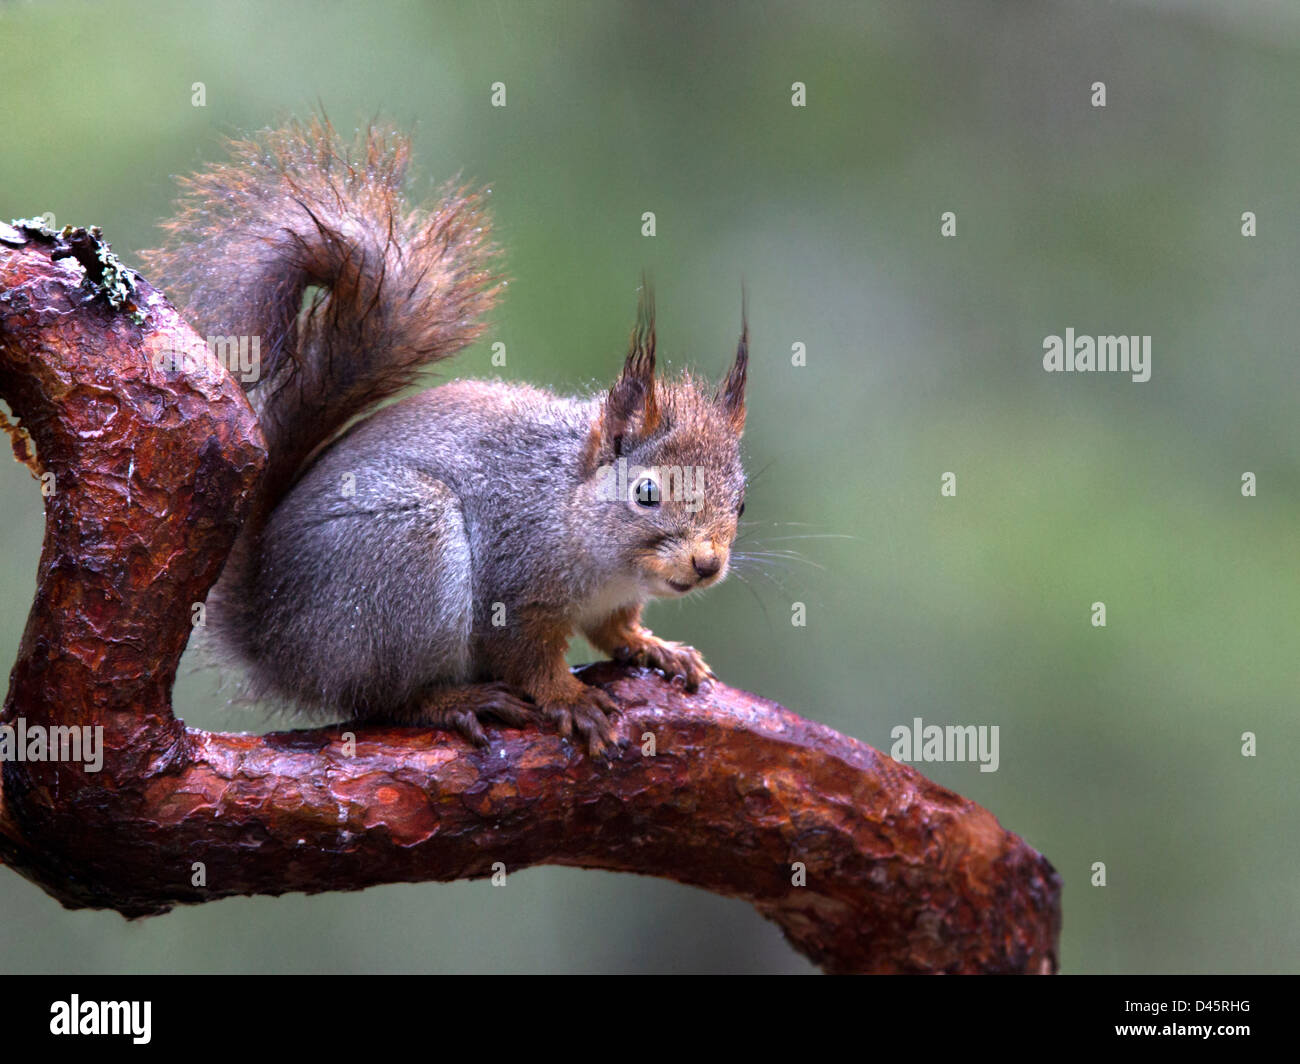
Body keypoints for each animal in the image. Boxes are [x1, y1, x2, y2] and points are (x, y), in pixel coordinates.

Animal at [141, 117, 748, 756]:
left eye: (741, 503)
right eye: (647, 494)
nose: (707, 564)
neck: (572, 508)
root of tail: (271, 640)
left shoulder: (614, 600)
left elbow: (615, 630)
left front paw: (657, 648)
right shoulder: (516, 583)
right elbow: (528, 659)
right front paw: (570, 698)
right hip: (405, 558)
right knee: (382, 699)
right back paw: (455, 701)